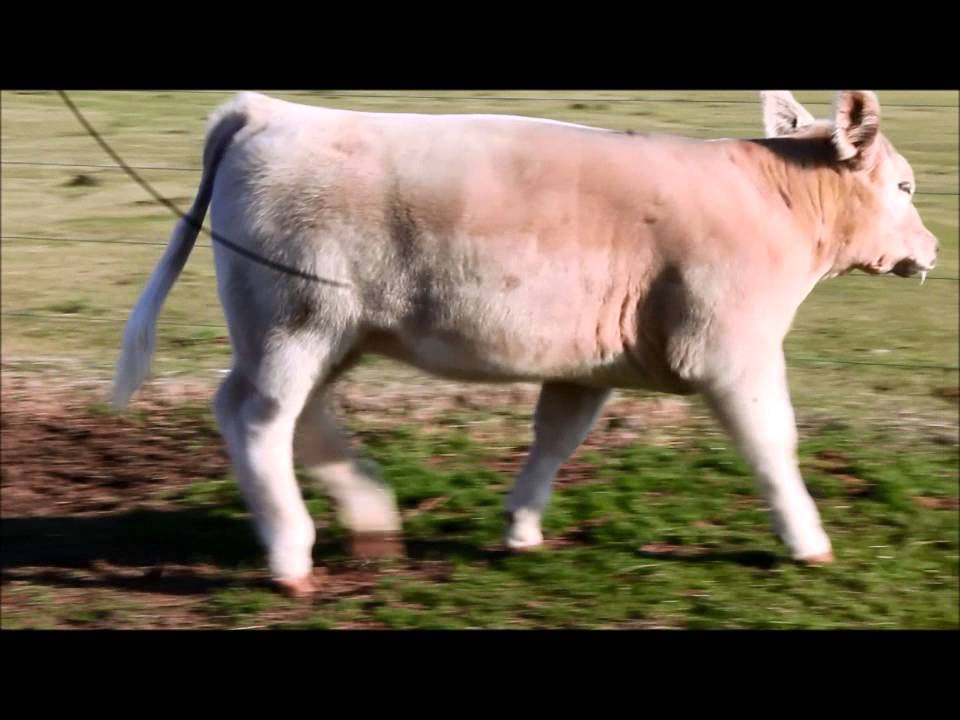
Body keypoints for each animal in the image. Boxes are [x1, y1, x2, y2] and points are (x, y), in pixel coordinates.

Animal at [112, 90, 939, 597]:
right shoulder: (732, 349)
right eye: (903, 186)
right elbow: (773, 444)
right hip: (294, 325)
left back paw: (372, 515)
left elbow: (555, 438)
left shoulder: (593, 360)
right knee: (257, 419)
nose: (931, 249)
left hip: (331, 332)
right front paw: (806, 539)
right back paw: (291, 551)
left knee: (299, 416)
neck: (778, 201)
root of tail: (270, 111)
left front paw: (520, 526)